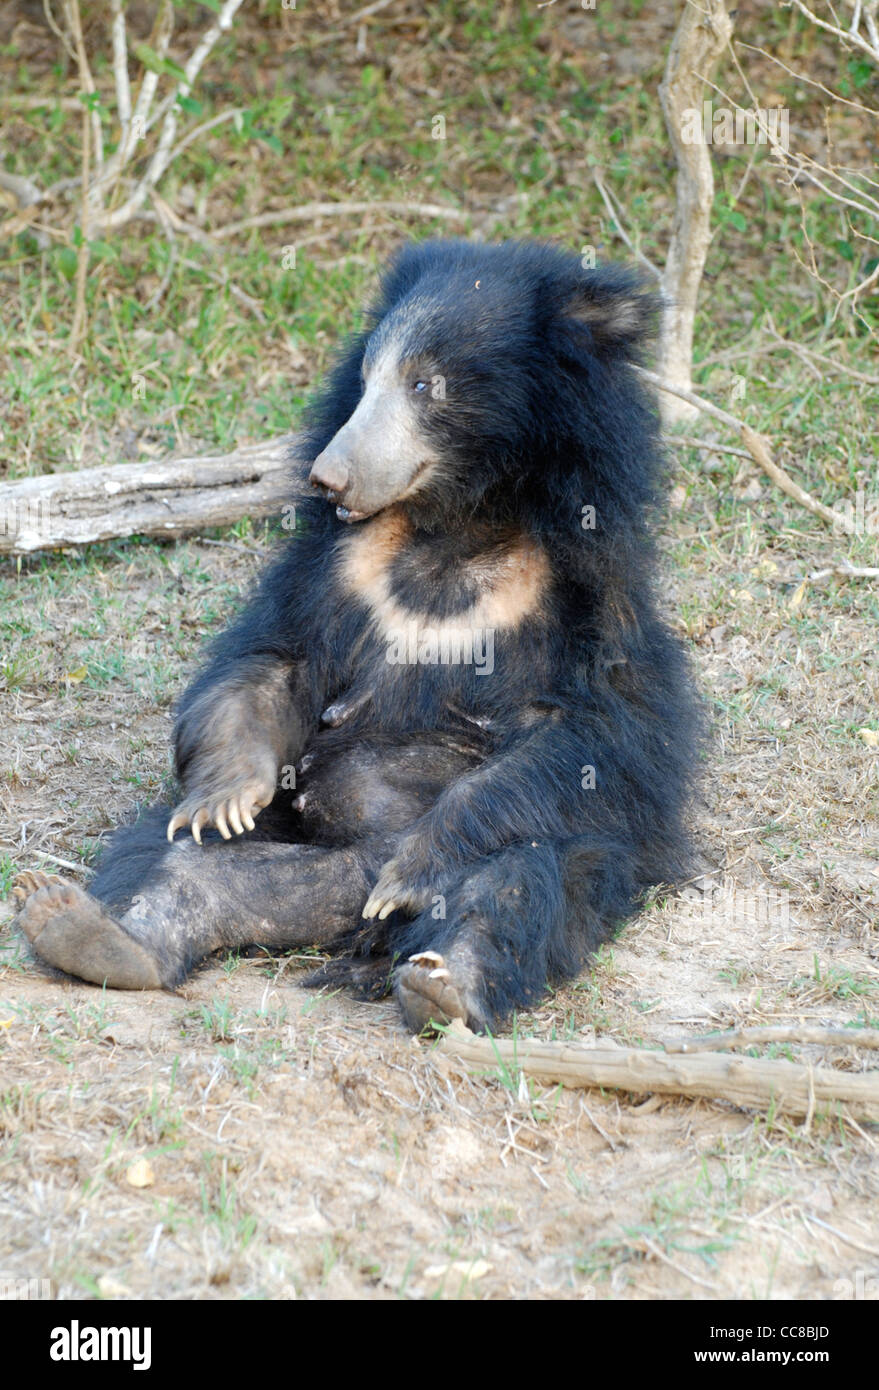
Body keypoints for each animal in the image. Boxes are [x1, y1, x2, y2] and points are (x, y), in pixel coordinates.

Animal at [12, 238, 702, 1034]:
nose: (328, 478)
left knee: (524, 878)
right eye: (366, 379)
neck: (459, 522)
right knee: (182, 867)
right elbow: (275, 659)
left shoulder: (592, 587)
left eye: (425, 384)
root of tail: (357, 917)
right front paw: (224, 795)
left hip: (537, 859)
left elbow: (593, 732)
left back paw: (440, 977)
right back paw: (87, 930)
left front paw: (414, 865)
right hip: (297, 859)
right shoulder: (332, 563)